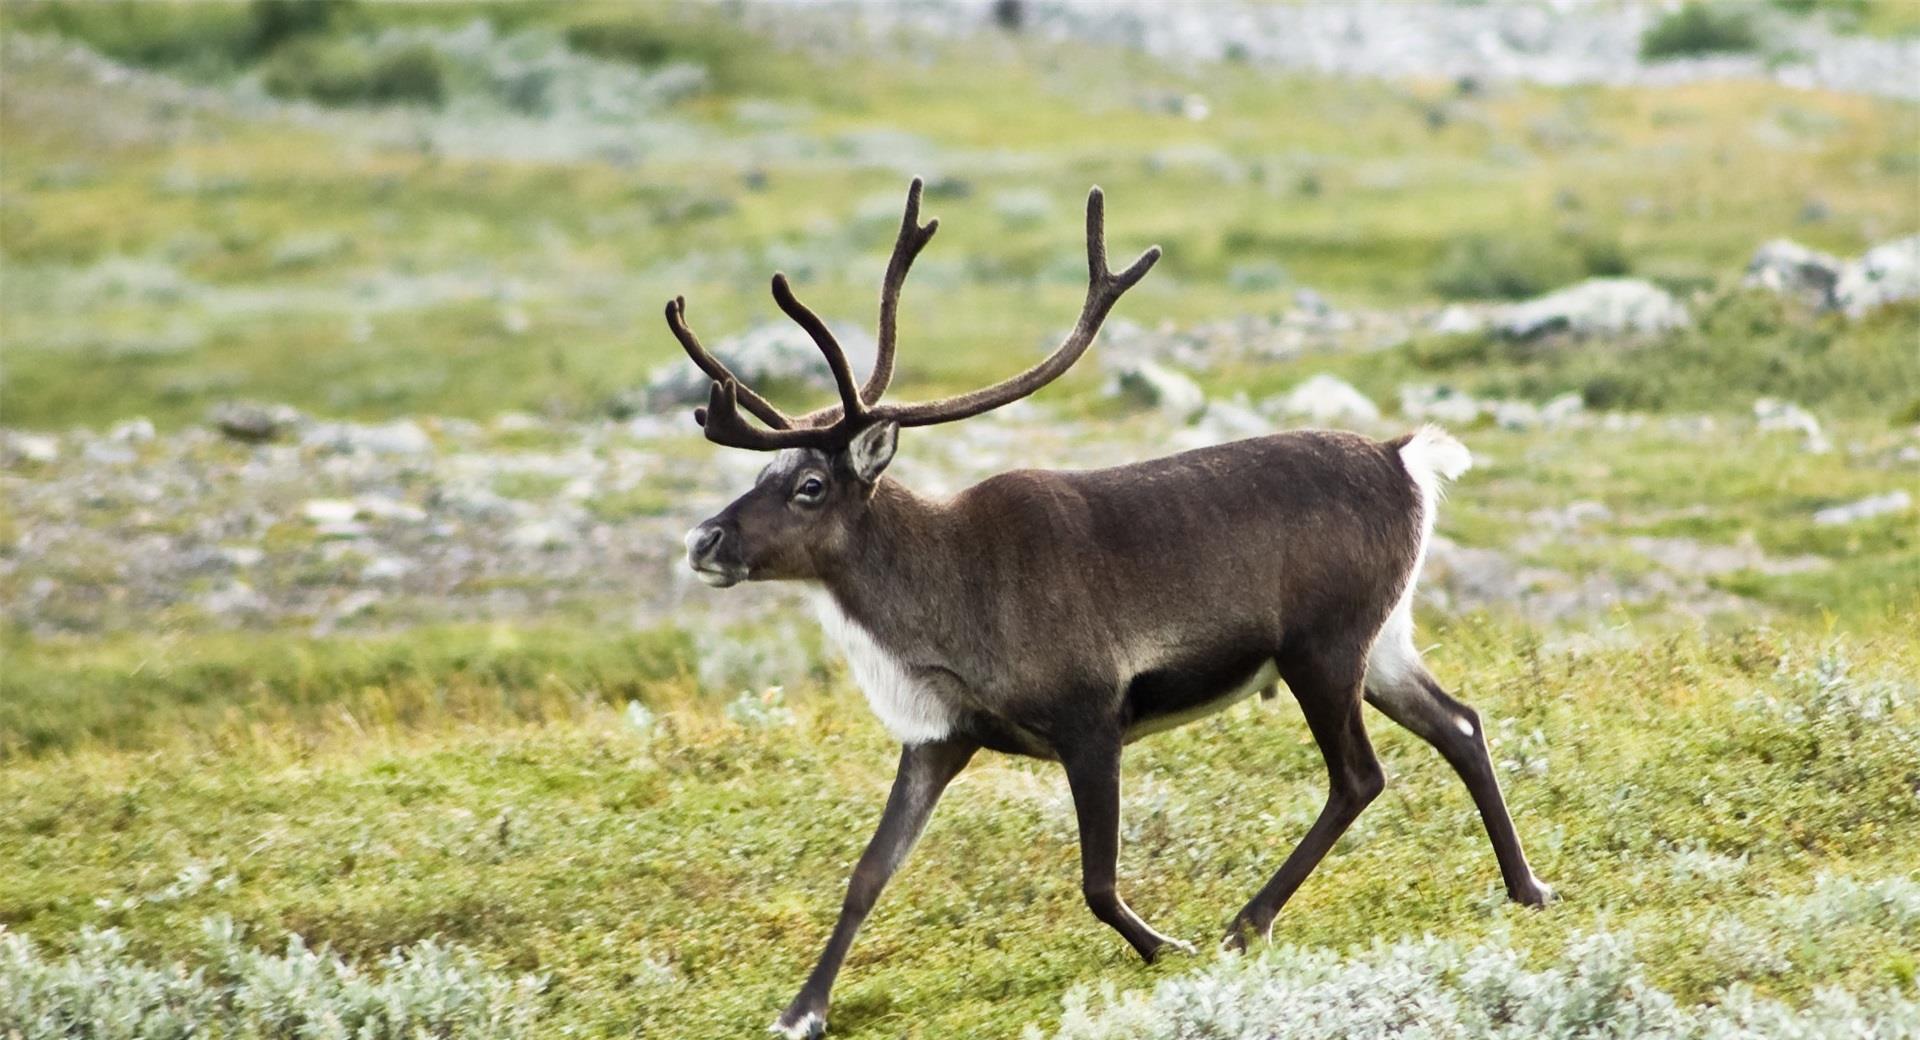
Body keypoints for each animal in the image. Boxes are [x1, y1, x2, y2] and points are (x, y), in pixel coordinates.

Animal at [670, 179, 1554, 1040]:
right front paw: (801, 1010)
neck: (940, 602)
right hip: (1382, 642)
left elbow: (1096, 880)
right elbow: (868, 872)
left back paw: (1247, 922)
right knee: (1461, 723)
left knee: (1359, 776)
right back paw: (1527, 888)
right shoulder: (941, 737)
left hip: (1322, 647)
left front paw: (1166, 947)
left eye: (809, 486)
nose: (703, 538)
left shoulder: (1091, 716)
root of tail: (1406, 458)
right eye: (765, 472)